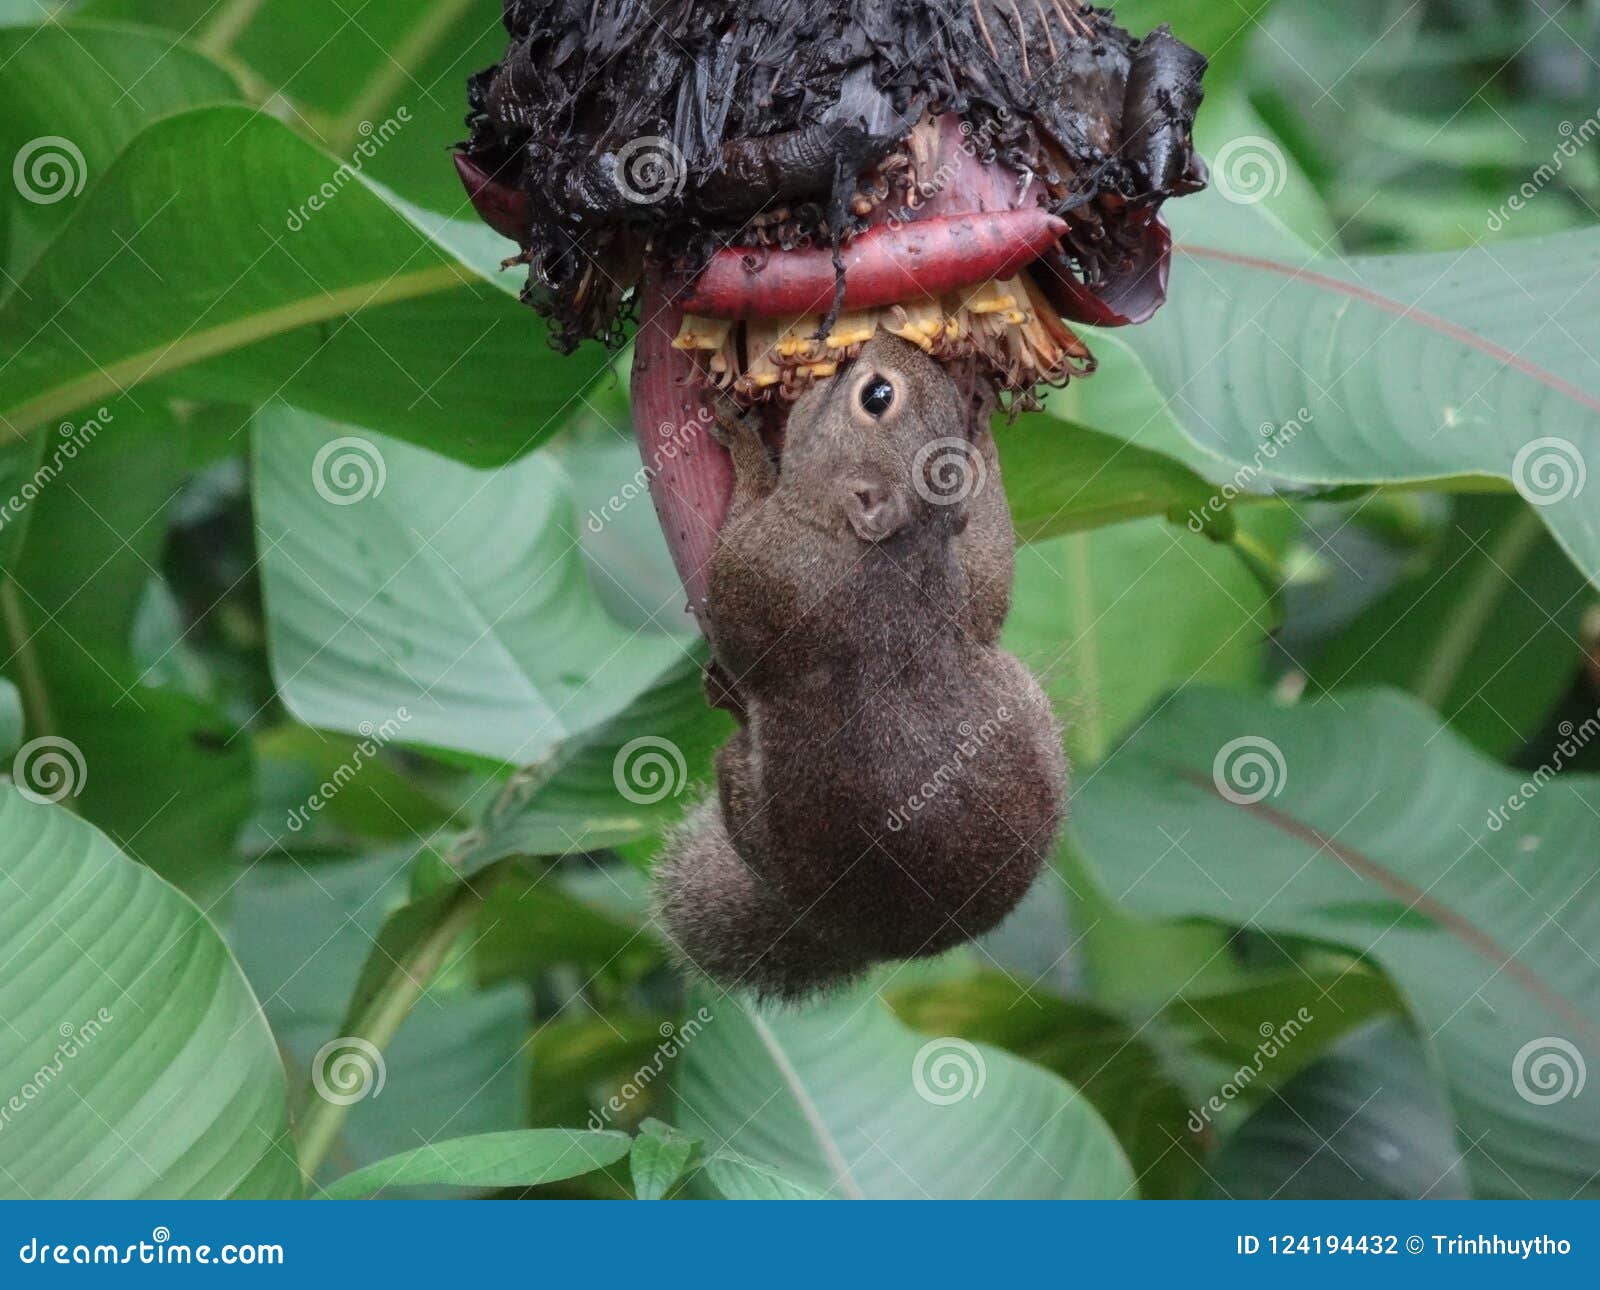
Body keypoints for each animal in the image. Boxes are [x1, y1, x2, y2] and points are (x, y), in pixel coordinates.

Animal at [654, 335, 1066, 1002]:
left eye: (877, 396)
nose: (882, 338)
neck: (889, 549)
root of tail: (872, 941)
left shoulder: (769, 568)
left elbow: (734, 615)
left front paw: (744, 444)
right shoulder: (962, 594)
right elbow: (992, 577)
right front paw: (980, 410)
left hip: (749, 803)